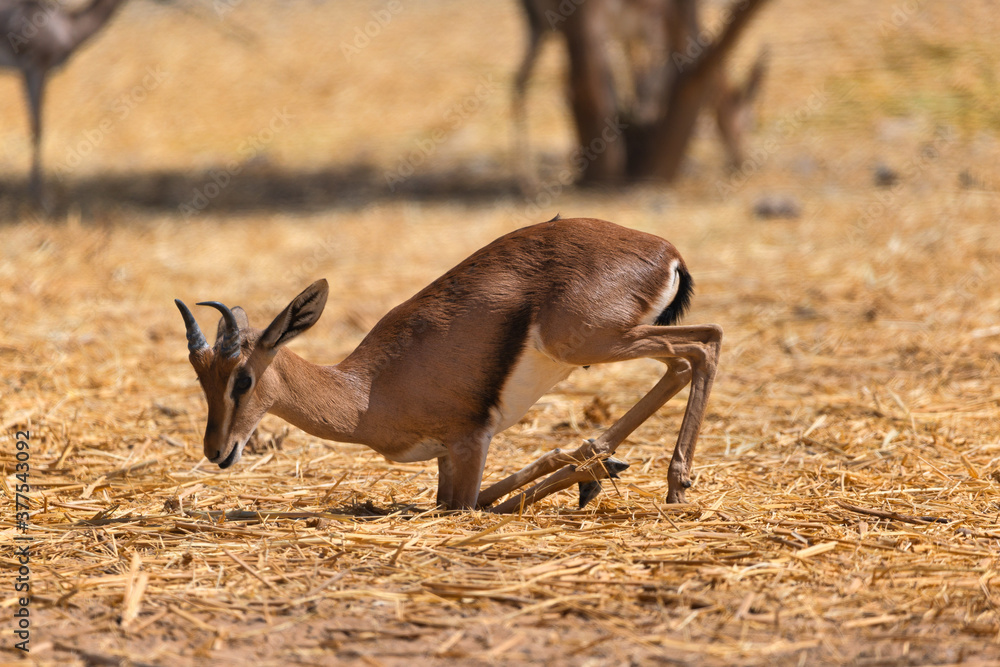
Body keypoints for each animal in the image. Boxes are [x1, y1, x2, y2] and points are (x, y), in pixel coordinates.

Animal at [175, 218, 721, 512]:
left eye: (243, 379)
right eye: (203, 379)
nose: (216, 450)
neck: (367, 392)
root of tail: (666, 251)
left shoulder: (470, 442)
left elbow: (471, 504)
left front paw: (583, 472)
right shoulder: (443, 457)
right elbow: (472, 498)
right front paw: (584, 467)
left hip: (592, 344)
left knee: (705, 343)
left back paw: (675, 486)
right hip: (609, 344)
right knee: (680, 364)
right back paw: (606, 461)